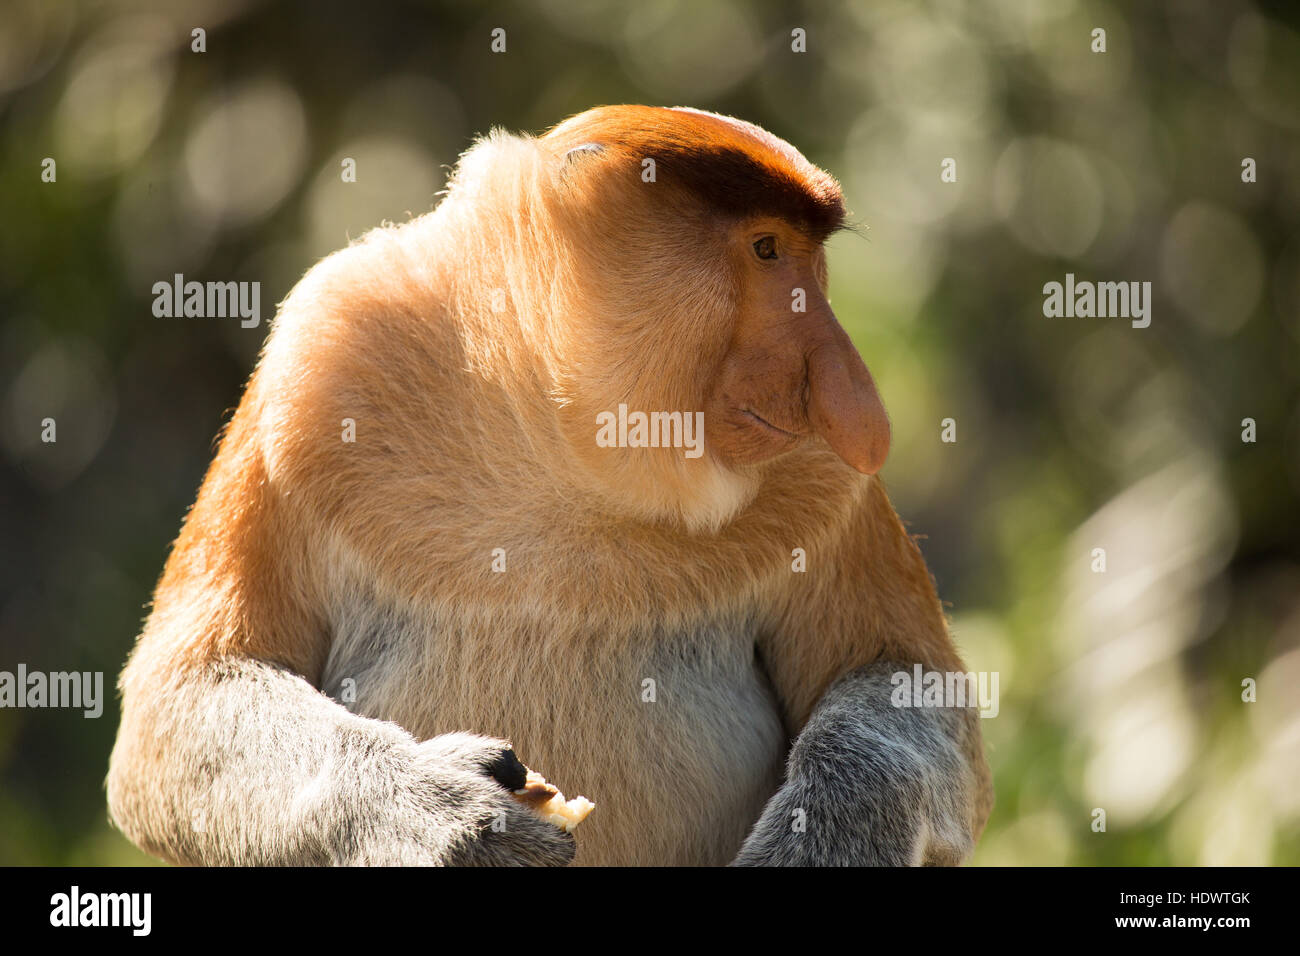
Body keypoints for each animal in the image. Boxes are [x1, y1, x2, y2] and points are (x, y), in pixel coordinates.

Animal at [106, 105, 993, 866]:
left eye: (810, 258)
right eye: (769, 251)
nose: (858, 404)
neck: (561, 436)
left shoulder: (828, 477)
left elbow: (901, 679)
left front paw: (823, 837)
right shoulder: (321, 357)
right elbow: (185, 694)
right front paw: (446, 814)